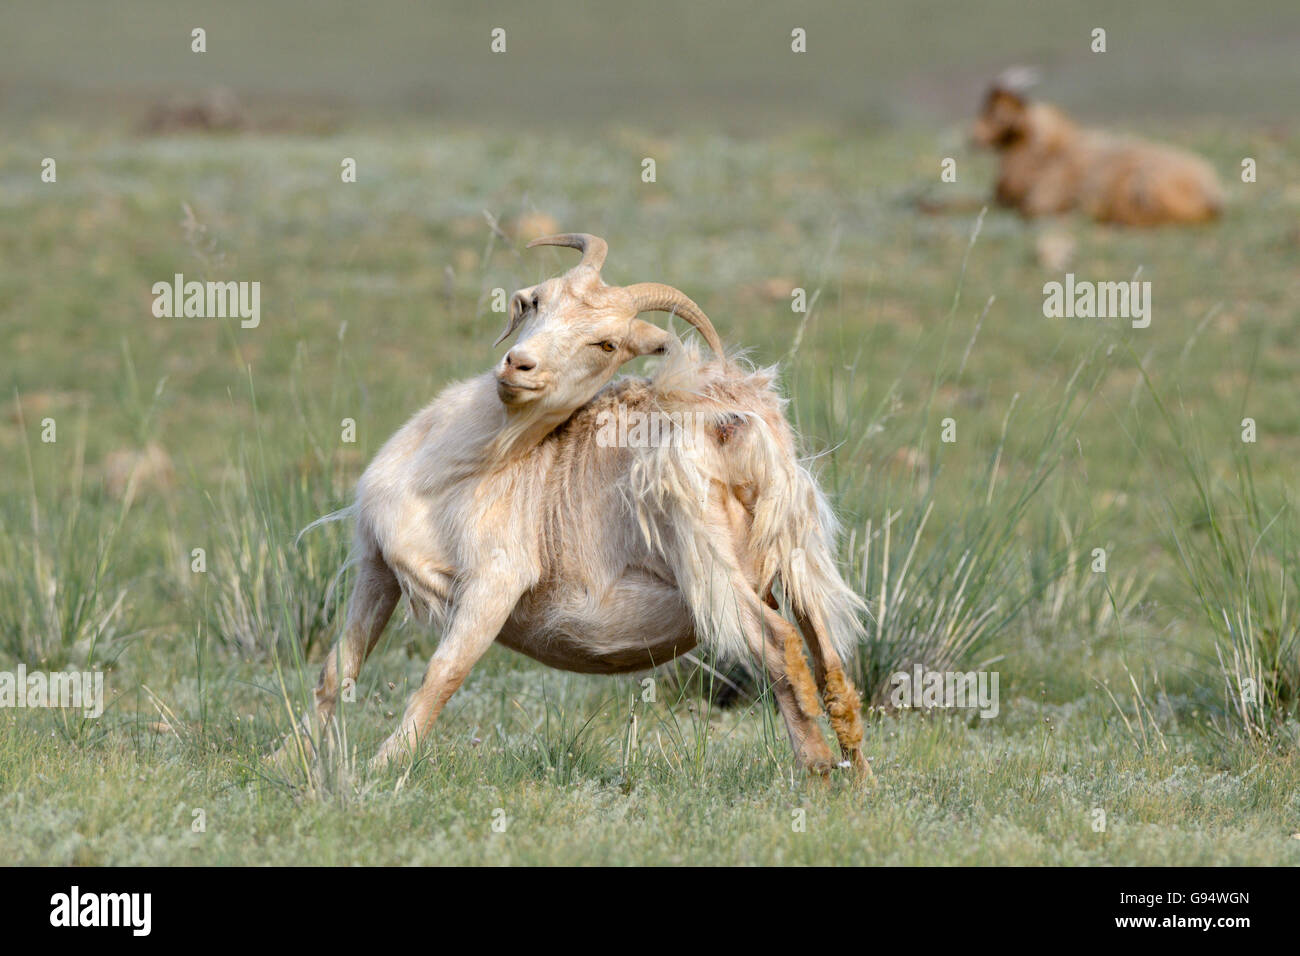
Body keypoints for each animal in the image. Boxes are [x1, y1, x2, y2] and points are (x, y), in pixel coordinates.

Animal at [291, 234, 870, 777]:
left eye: (607, 343)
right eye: (536, 301)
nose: (519, 365)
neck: (456, 475)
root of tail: (739, 426)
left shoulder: (496, 580)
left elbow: (442, 675)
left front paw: (379, 770)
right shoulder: (376, 564)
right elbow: (337, 670)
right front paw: (288, 761)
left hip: (709, 560)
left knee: (780, 644)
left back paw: (819, 769)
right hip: (795, 554)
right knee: (830, 662)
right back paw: (853, 780)